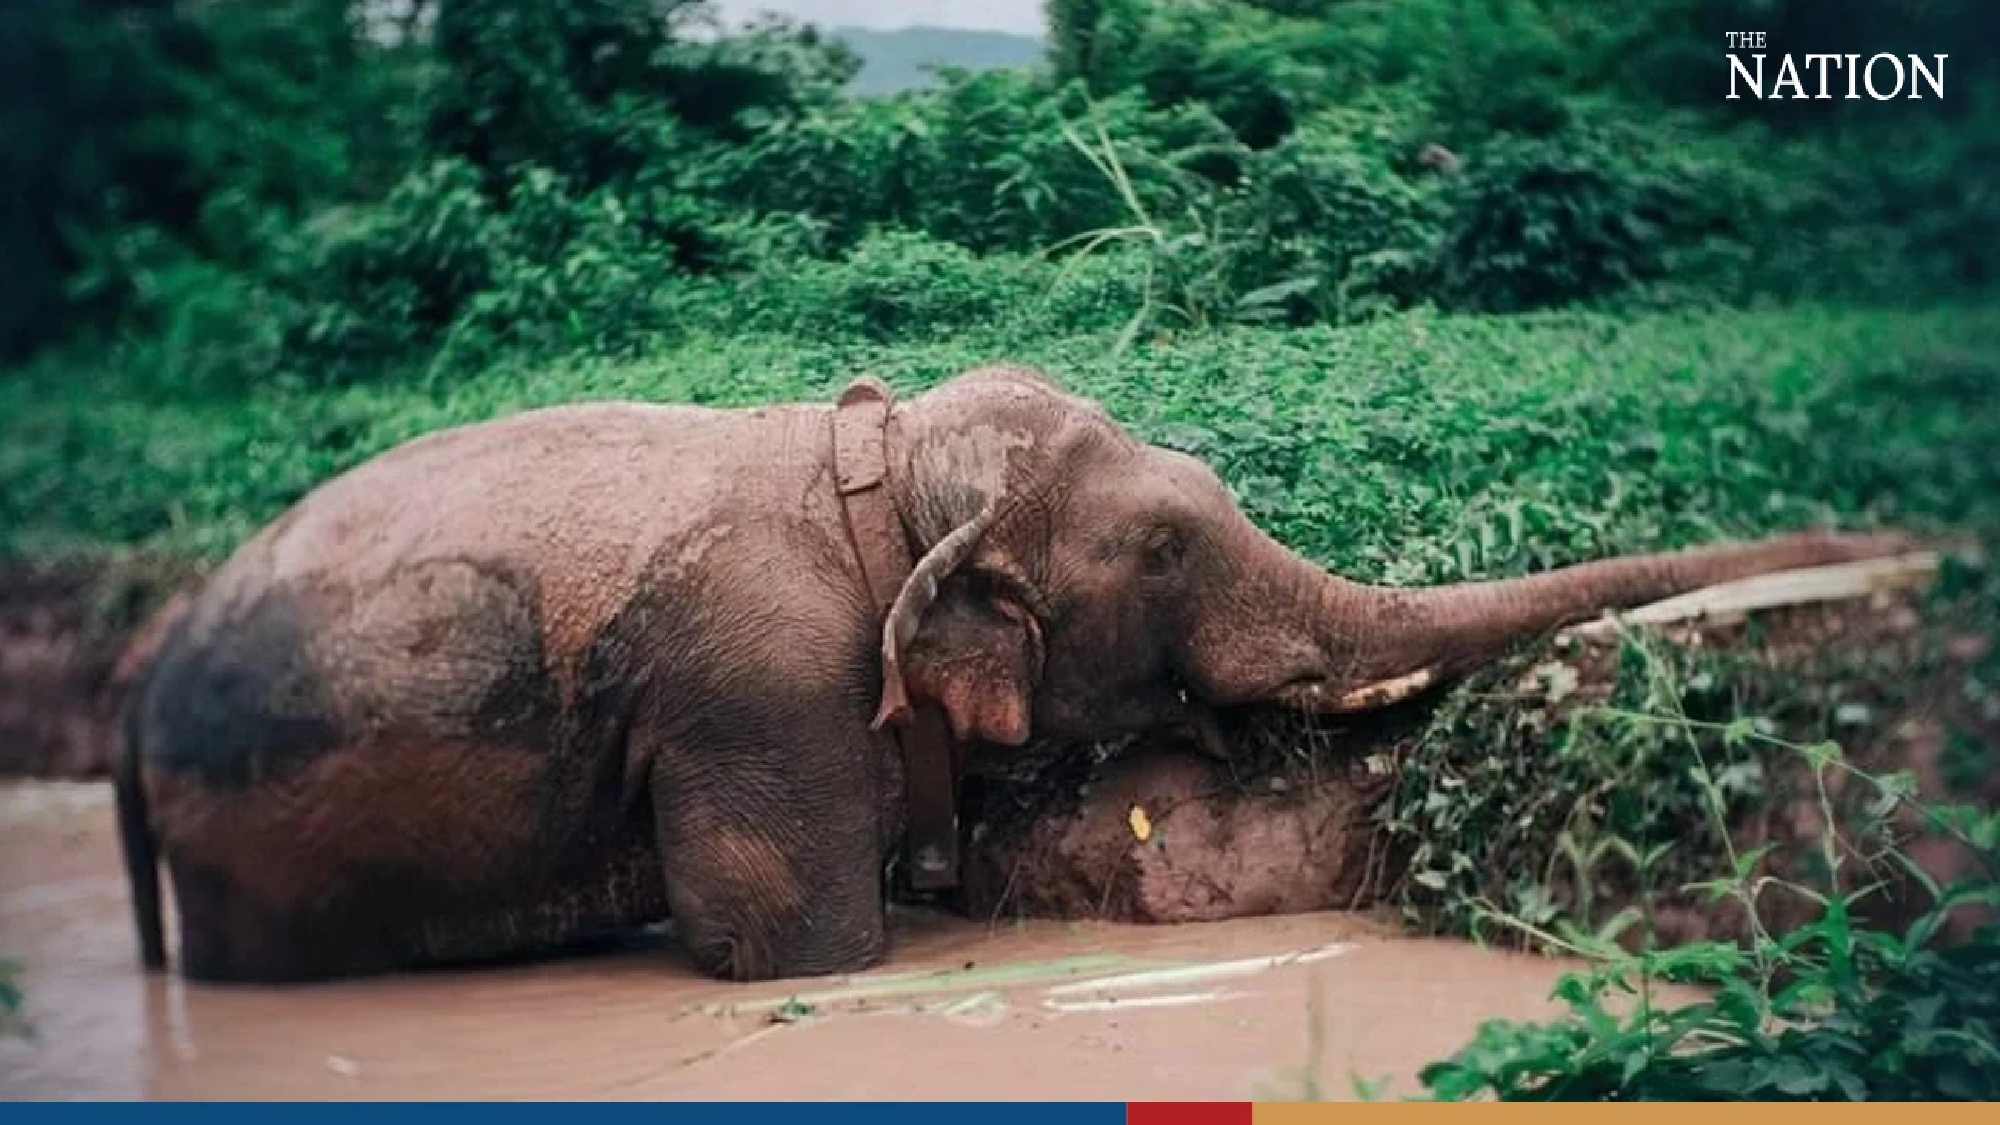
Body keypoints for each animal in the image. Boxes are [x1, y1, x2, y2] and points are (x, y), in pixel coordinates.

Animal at [115, 364, 1912, 984]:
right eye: (1172, 548)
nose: (1893, 538)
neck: (887, 462)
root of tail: (131, 688)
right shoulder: (765, 684)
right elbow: (803, 954)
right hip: (262, 839)